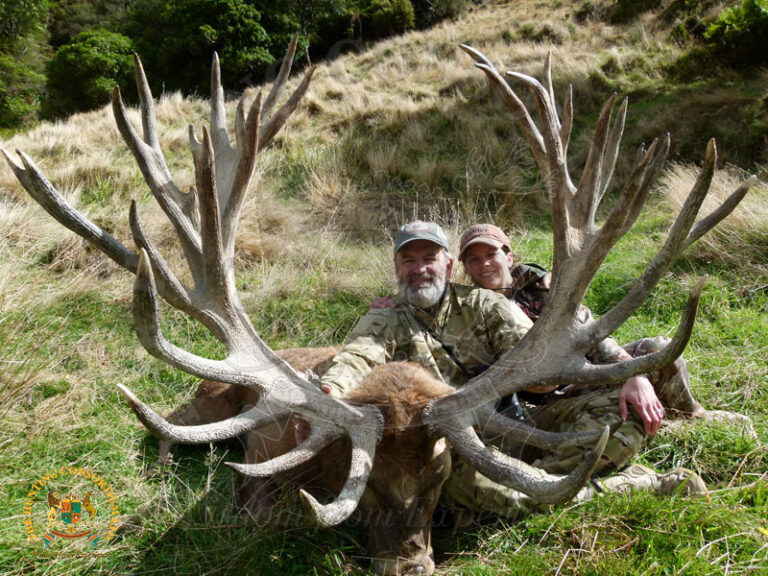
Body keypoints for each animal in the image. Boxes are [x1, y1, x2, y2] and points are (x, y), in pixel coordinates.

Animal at [2, 34, 753, 575]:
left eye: (441, 469)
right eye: (356, 480)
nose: (406, 566)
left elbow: (613, 478)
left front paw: (680, 472)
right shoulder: (261, 503)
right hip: (198, 407)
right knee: (166, 429)